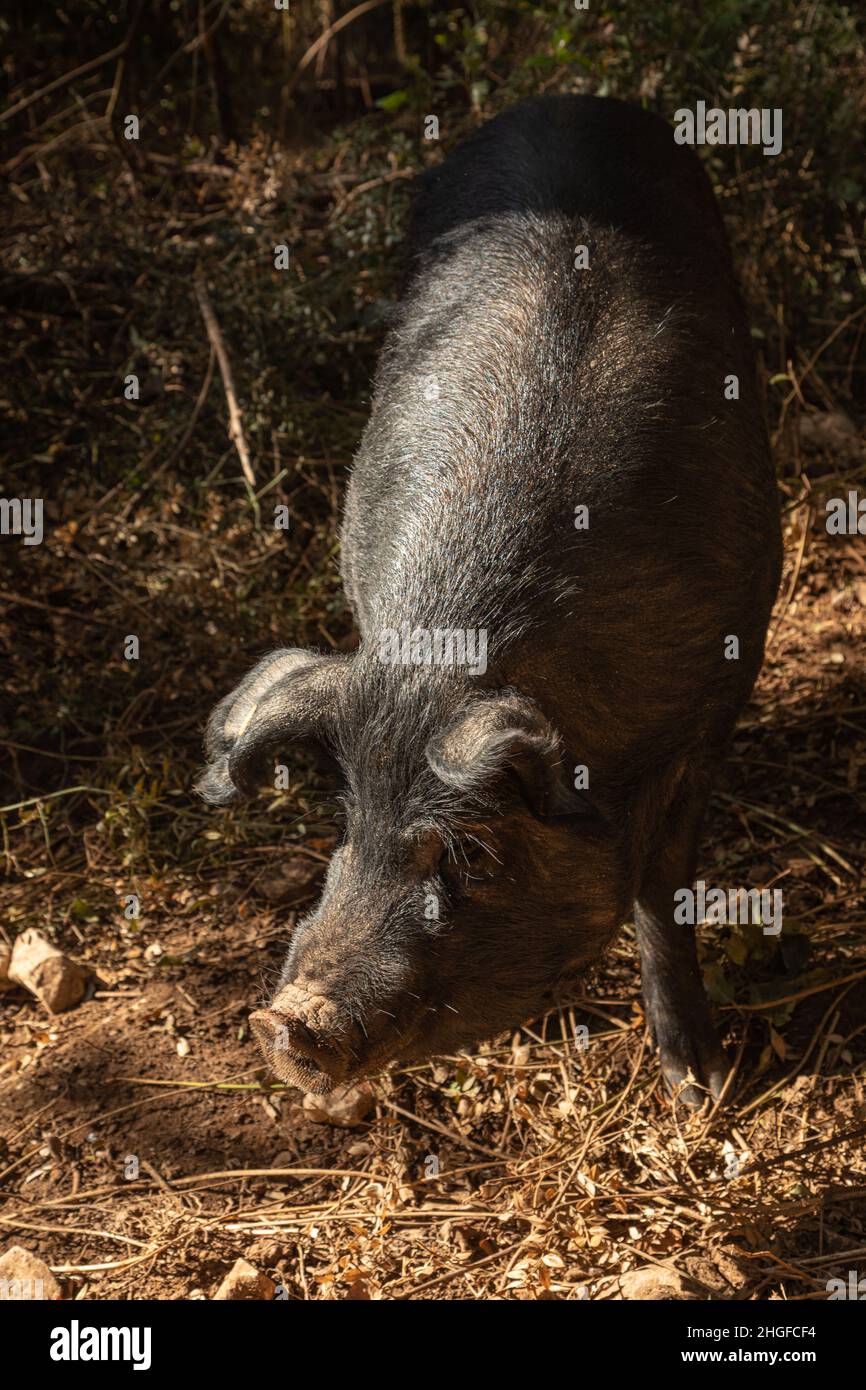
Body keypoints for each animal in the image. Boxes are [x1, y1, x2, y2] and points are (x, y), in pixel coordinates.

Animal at [196, 95, 782, 1106]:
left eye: (467, 853)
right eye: (349, 822)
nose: (284, 1025)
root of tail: (563, 98)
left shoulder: (715, 698)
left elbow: (662, 887)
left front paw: (703, 1088)